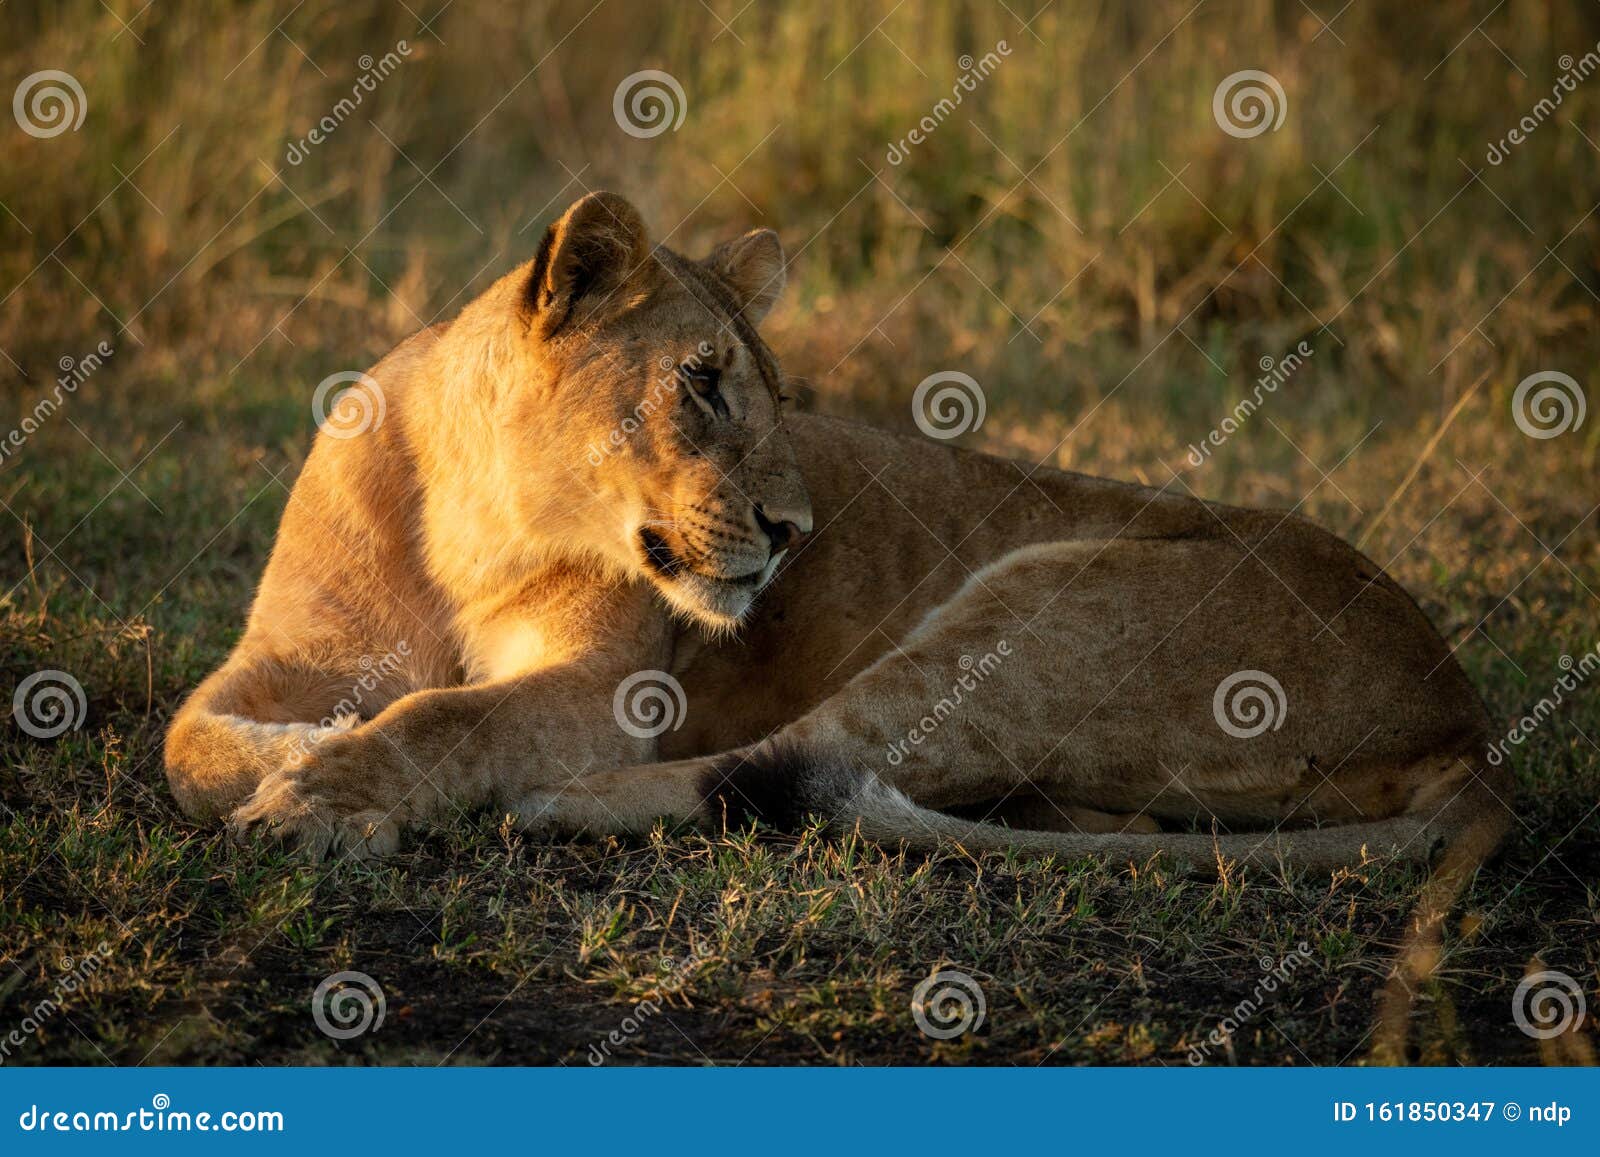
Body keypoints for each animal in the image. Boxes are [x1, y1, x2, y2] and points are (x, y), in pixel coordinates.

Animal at [164, 191, 1511, 877]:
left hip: (1038, 608)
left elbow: (447, 716)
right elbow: (191, 734)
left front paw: (324, 787)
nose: (792, 527)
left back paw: (556, 801)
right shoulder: (290, 653)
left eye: (774, 395)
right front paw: (294, 751)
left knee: (798, 761)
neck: (471, 513)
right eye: (702, 382)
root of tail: (1465, 713)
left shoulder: (612, 686)